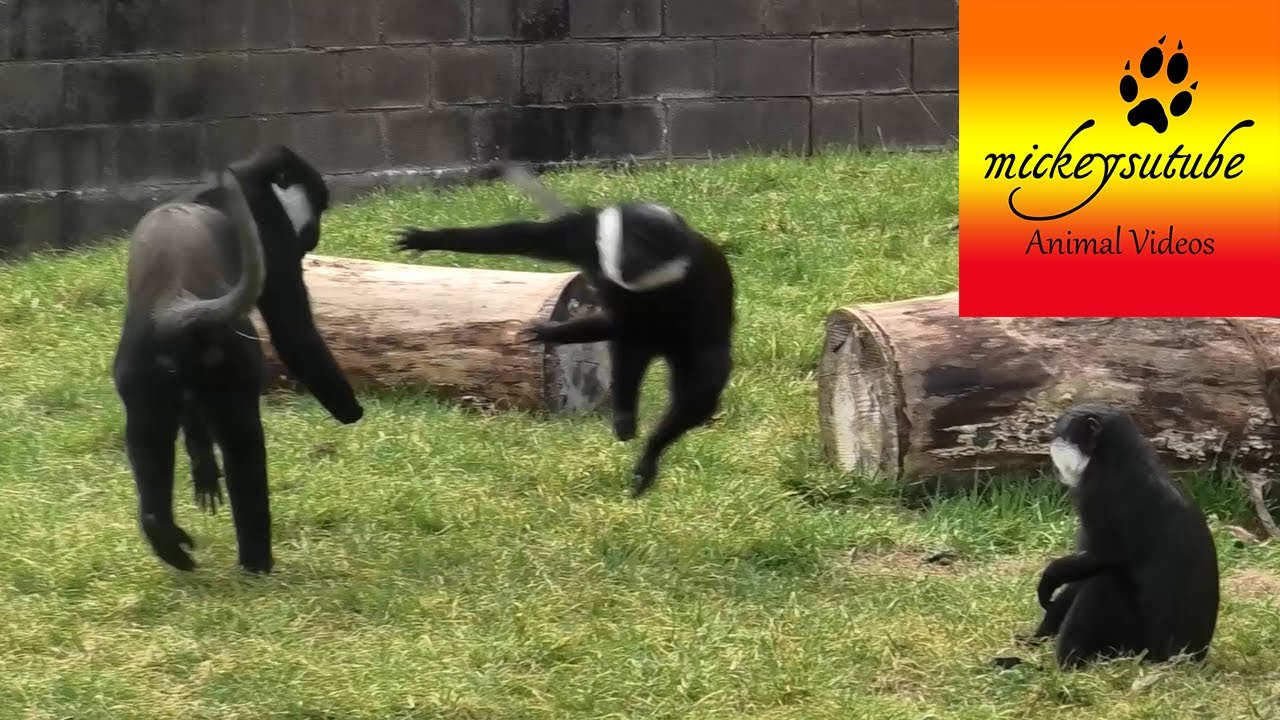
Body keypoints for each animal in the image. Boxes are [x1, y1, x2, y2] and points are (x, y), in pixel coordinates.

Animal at [111, 145, 364, 574]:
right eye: (318, 204)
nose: (314, 236)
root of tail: (174, 308)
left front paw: (203, 471)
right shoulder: (272, 229)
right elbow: (292, 329)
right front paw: (350, 410)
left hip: (143, 387)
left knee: (149, 447)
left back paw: (166, 537)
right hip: (234, 375)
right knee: (244, 452)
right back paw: (256, 562)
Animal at [393, 164, 735, 498]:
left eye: (648, 247)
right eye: (636, 240)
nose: (631, 263)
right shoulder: (586, 239)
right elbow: (529, 238)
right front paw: (427, 238)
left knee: (698, 387)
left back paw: (646, 450)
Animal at [1002, 403, 1220, 670]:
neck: (1118, 456)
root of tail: (1189, 657)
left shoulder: (1096, 490)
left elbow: (1106, 556)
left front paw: (1049, 579)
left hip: (1137, 648)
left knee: (1103, 581)